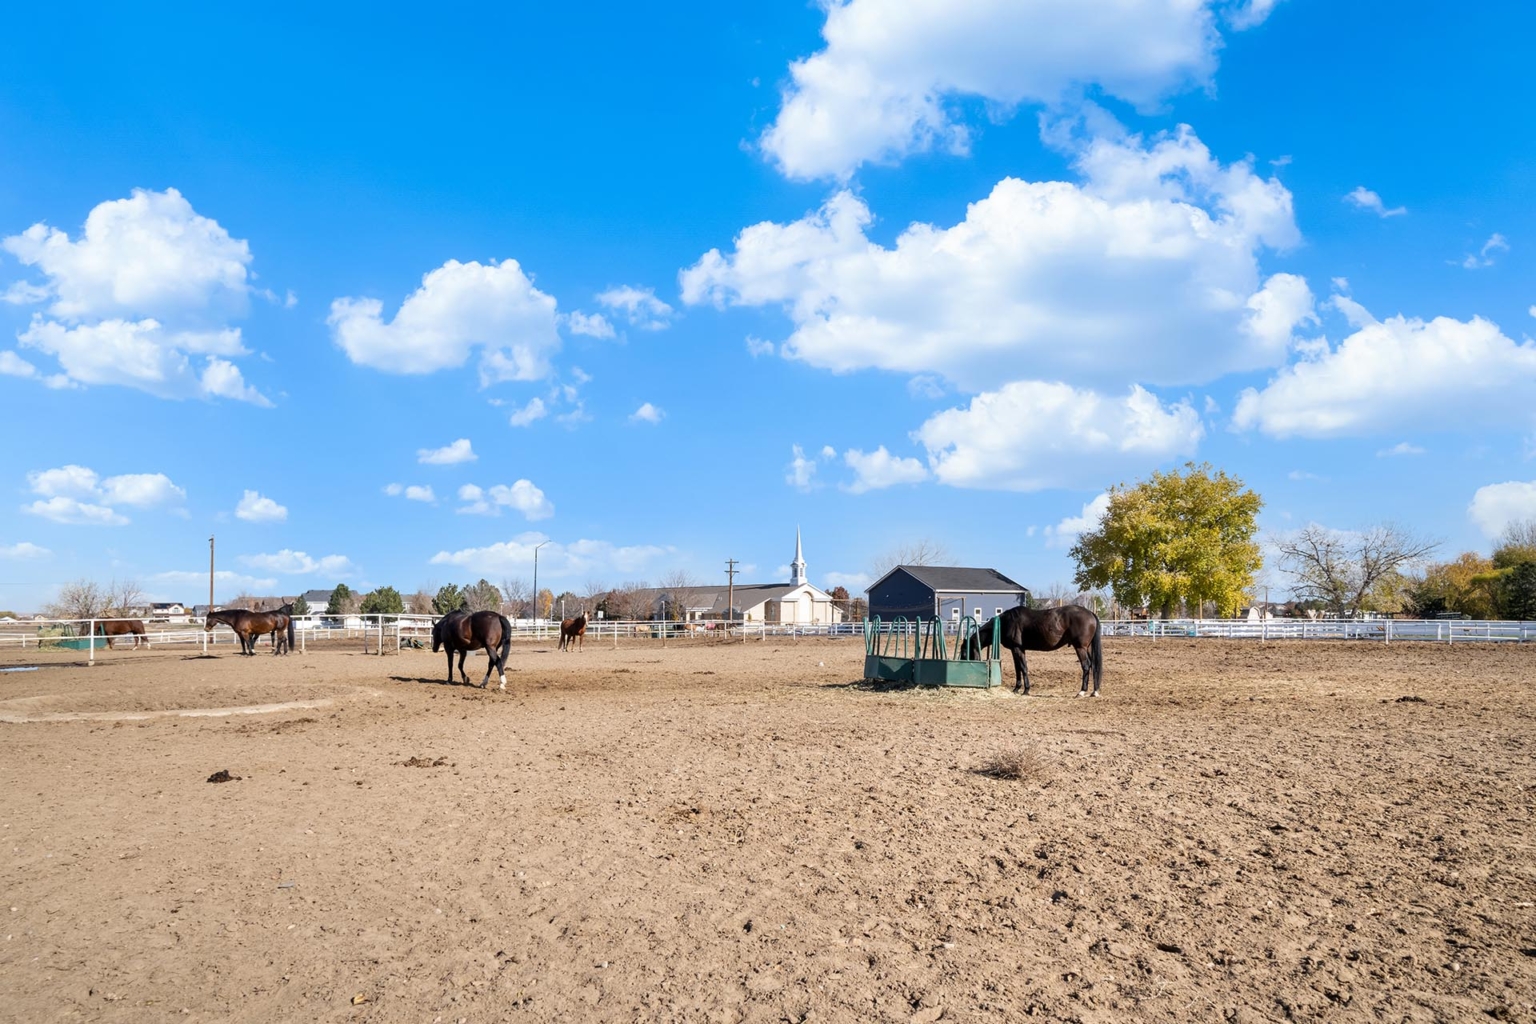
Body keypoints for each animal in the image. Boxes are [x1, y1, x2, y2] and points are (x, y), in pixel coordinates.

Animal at [964, 604, 1103, 697]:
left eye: (964, 652)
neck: (1007, 622)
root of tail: (1090, 613)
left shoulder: (1017, 649)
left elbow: (1023, 668)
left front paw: (1025, 690)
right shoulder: (1017, 649)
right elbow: (1018, 669)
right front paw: (1017, 689)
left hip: (1080, 648)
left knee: (1086, 666)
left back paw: (1082, 691)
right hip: (1086, 648)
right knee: (1093, 666)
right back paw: (1094, 691)